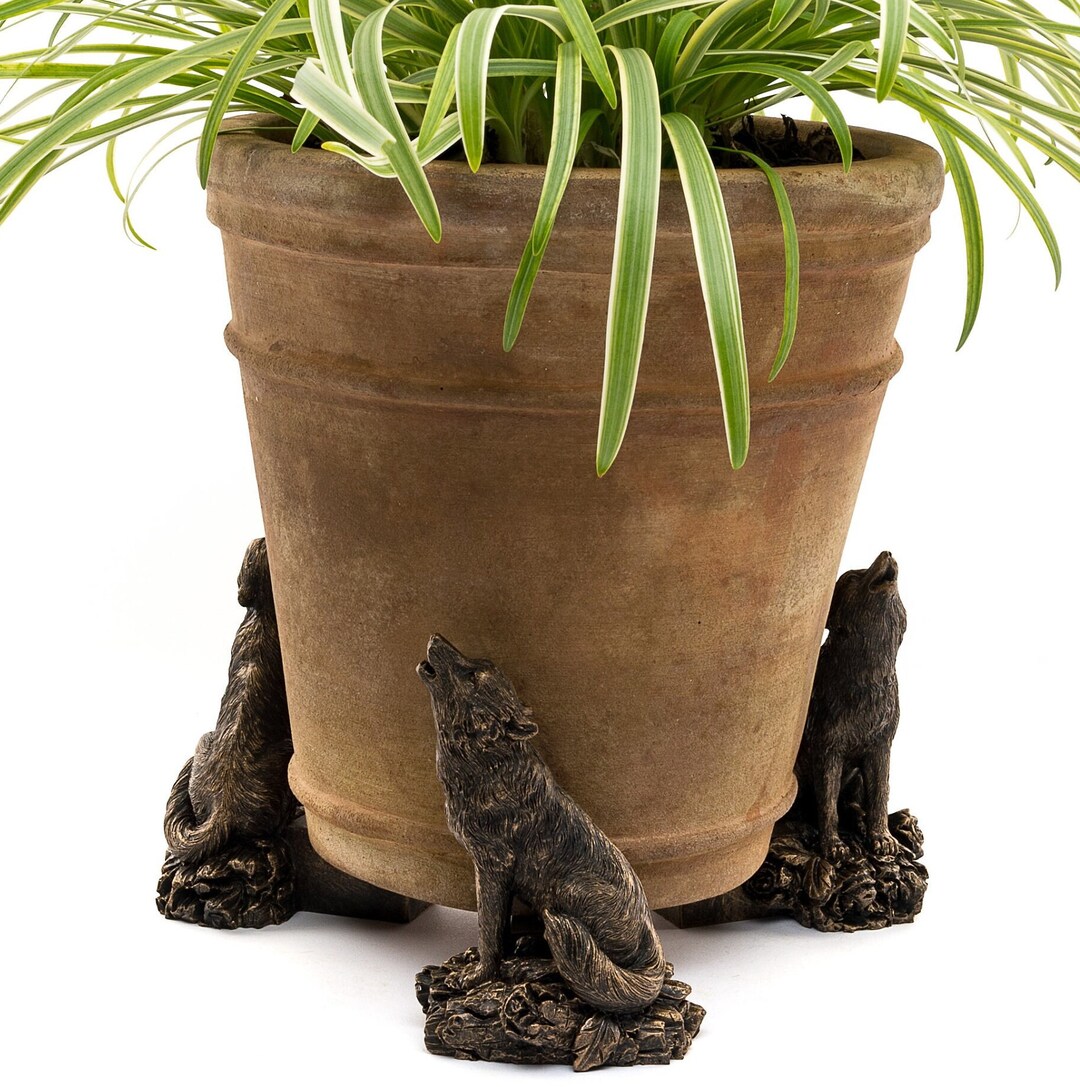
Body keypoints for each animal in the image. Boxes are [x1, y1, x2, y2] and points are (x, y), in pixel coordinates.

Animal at [418, 634, 666, 1014]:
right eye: (475, 663)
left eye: (472, 677)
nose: (435, 637)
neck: (487, 764)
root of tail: (649, 940)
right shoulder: (496, 874)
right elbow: (498, 926)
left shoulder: (493, 865)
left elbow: (488, 926)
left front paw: (479, 976)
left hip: (568, 889)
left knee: (569, 968)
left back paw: (529, 966)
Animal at [796, 550, 908, 862]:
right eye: (853, 578)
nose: (888, 553)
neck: (867, 675)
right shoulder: (828, 750)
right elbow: (827, 804)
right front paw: (833, 844)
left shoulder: (880, 748)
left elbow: (880, 796)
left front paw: (882, 837)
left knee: (854, 804)